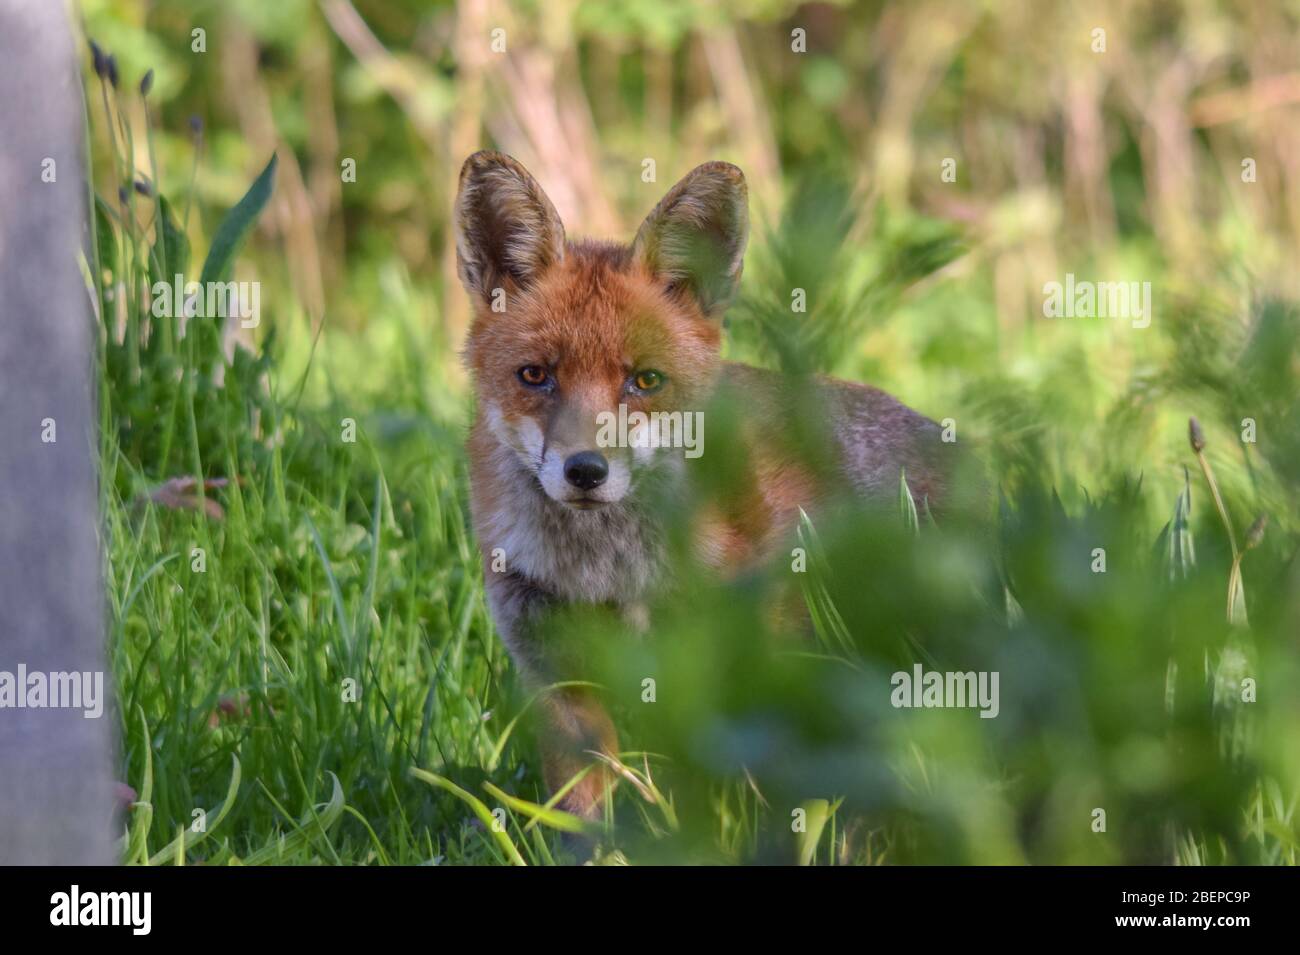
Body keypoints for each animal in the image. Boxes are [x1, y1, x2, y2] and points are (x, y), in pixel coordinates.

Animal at [456, 150, 958, 822]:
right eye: (535, 376)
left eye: (645, 381)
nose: (586, 471)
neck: (606, 574)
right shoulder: (556, 676)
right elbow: (582, 813)